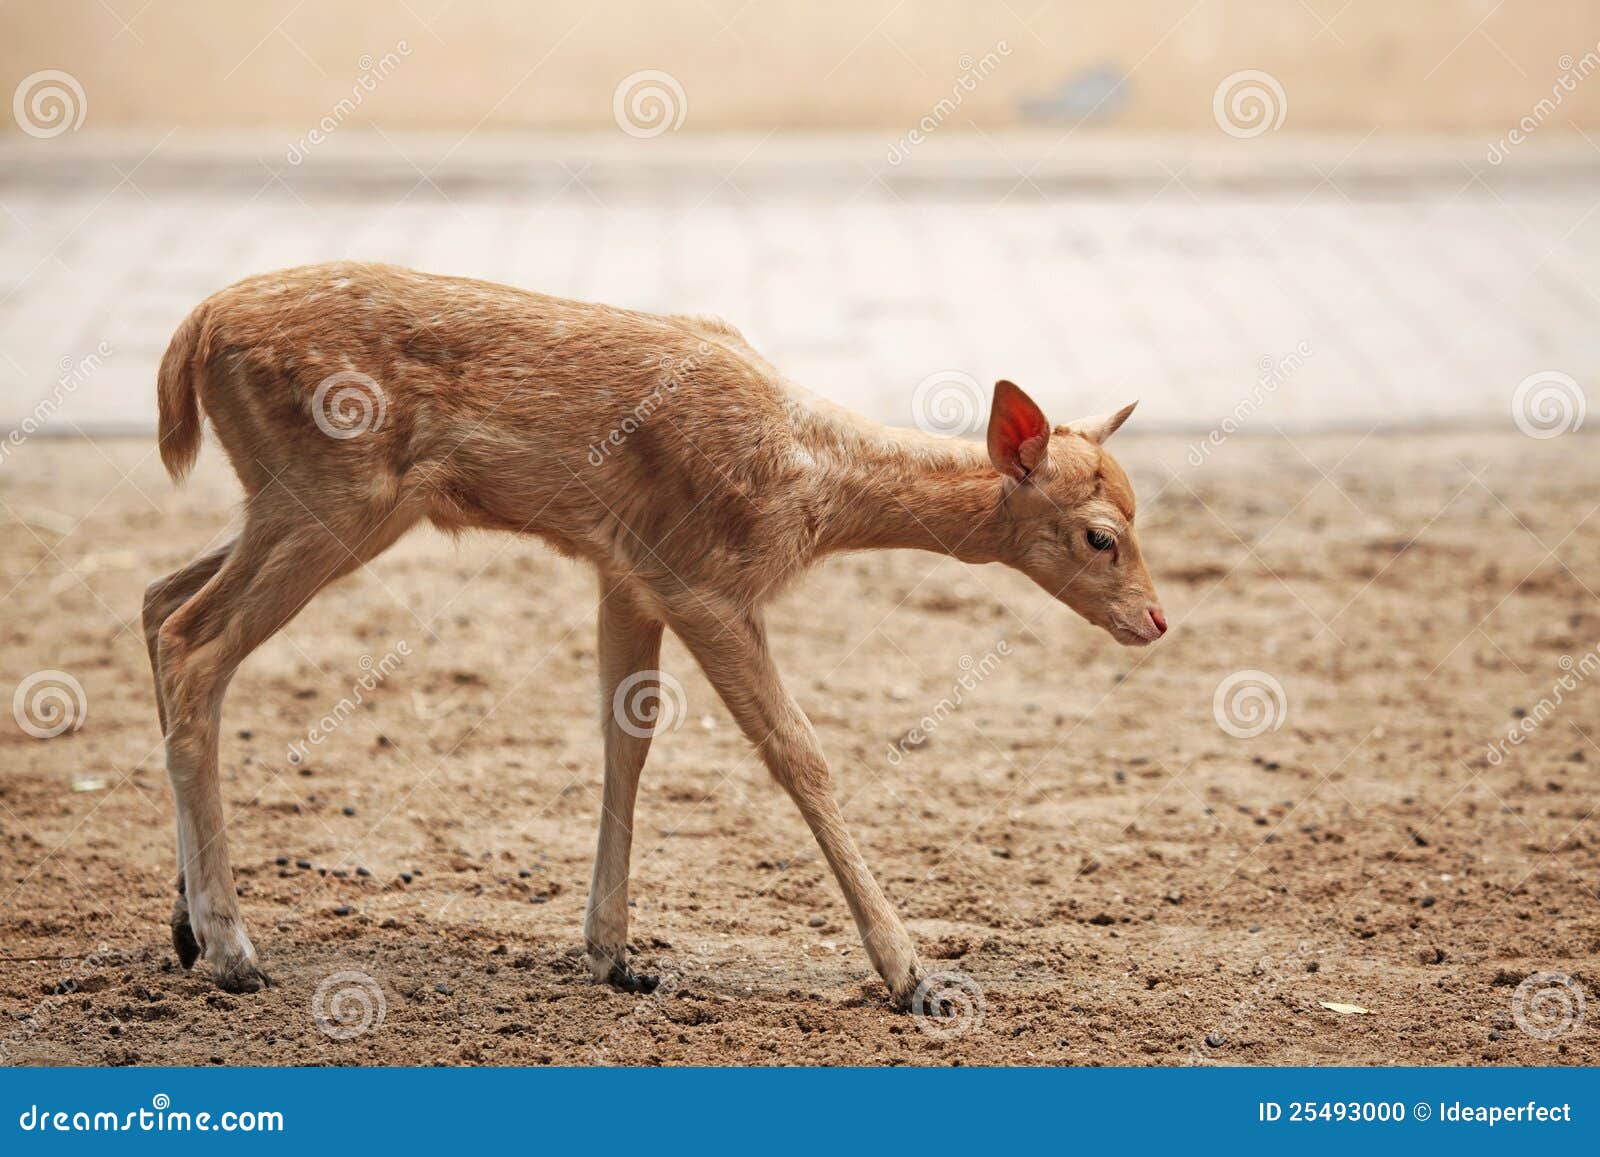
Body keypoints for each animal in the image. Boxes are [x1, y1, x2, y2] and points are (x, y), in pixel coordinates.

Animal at [144, 261, 1166, 1007]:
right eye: (1099, 535)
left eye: (1137, 511)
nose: (1155, 619)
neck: (813, 488)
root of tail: (190, 335)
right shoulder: (703, 578)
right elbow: (797, 751)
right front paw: (913, 975)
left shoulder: (627, 572)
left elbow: (624, 738)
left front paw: (613, 952)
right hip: (334, 493)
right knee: (197, 642)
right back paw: (234, 950)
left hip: (291, 498)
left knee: (158, 600)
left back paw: (187, 926)